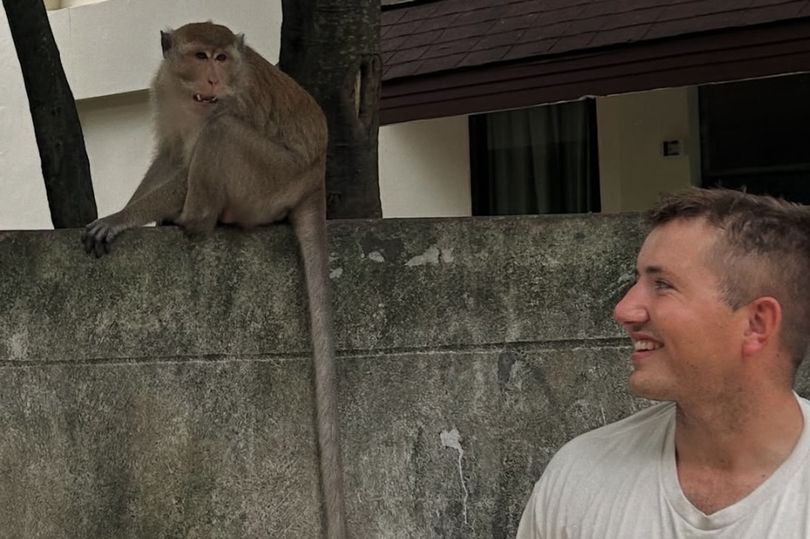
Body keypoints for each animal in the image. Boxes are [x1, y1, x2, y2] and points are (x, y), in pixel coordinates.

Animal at [81, 22, 347, 539]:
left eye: (222, 59)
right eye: (201, 55)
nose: (212, 80)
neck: (191, 96)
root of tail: (314, 178)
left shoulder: (233, 101)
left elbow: (191, 160)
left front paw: (120, 219)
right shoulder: (164, 88)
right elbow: (169, 156)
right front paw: (130, 209)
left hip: (270, 180)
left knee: (221, 135)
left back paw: (196, 219)